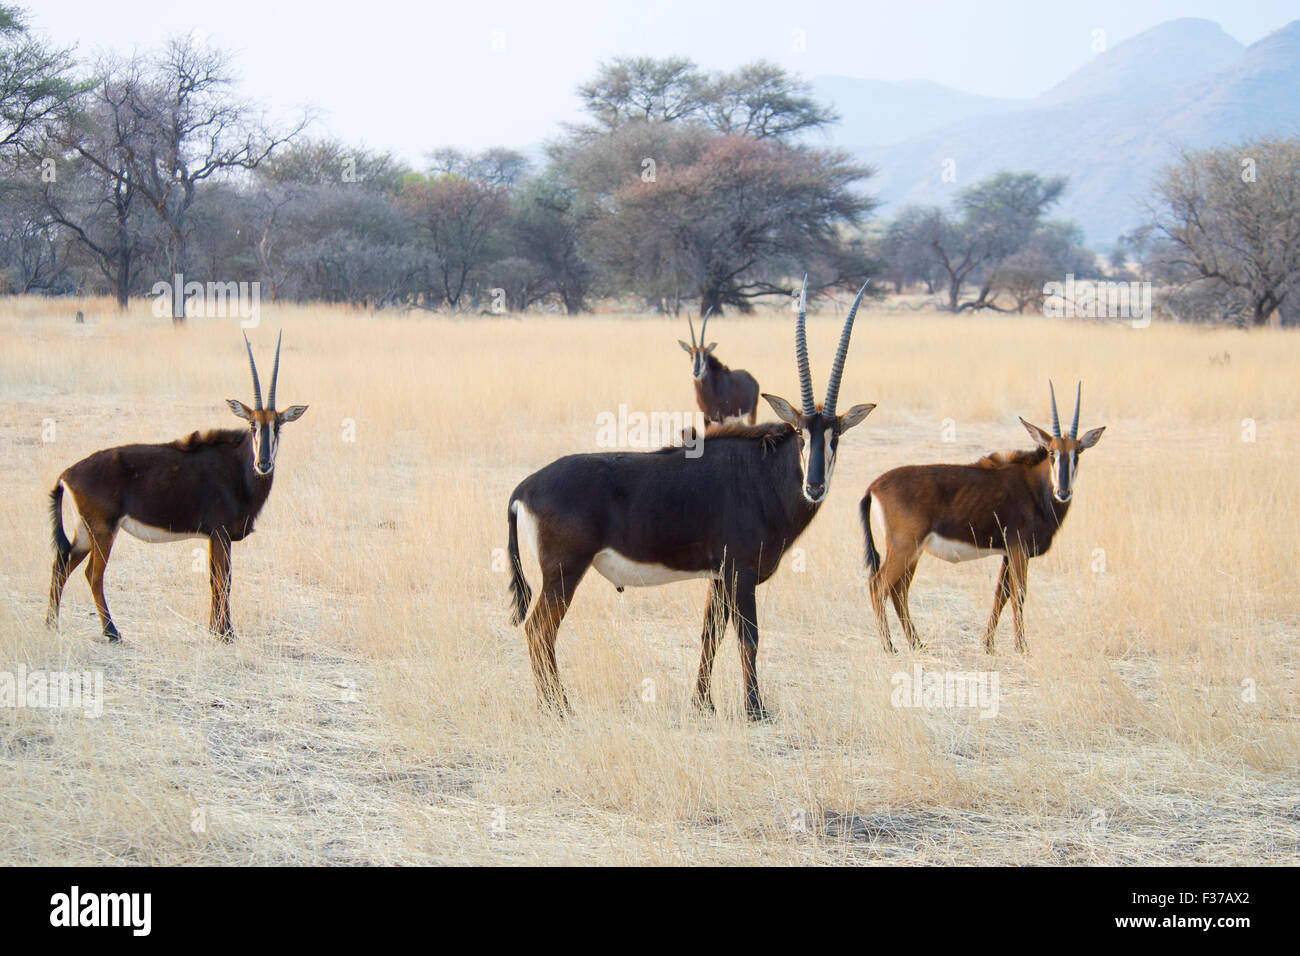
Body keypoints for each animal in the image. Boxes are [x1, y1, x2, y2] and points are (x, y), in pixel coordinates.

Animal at [45, 333, 308, 643]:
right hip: (102, 531)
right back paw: (112, 632)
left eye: (278, 425)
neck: (238, 469)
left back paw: (51, 624)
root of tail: (67, 474)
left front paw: (214, 629)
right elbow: (224, 580)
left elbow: (213, 579)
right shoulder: (220, 533)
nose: (264, 463)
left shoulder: (213, 537)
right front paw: (226, 633)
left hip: (85, 533)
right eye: (252, 424)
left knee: (61, 566)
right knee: (92, 575)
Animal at [508, 281, 874, 720]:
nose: (815, 487)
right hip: (563, 572)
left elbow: (709, 636)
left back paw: (556, 703)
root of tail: (524, 489)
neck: (763, 473)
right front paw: (755, 710)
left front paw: (703, 704)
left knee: (540, 631)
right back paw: (557, 706)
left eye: (836, 436)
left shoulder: (718, 577)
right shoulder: (740, 573)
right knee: (539, 629)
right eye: (801, 433)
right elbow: (749, 638)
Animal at [861, 383, 1104, 654]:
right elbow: (1019, 594)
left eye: (1078, 452)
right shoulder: (1019, 550)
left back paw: (917, 643)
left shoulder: (1008, 553)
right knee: (878, 586)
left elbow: (1001, 595)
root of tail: (874, 487)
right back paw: (889, 646)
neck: (1036, 488)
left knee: (898, 591)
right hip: (904, 547)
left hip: (913, 552)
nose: (1063, 492)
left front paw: (988, 644)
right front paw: (1021, 647)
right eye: (1052, 452)